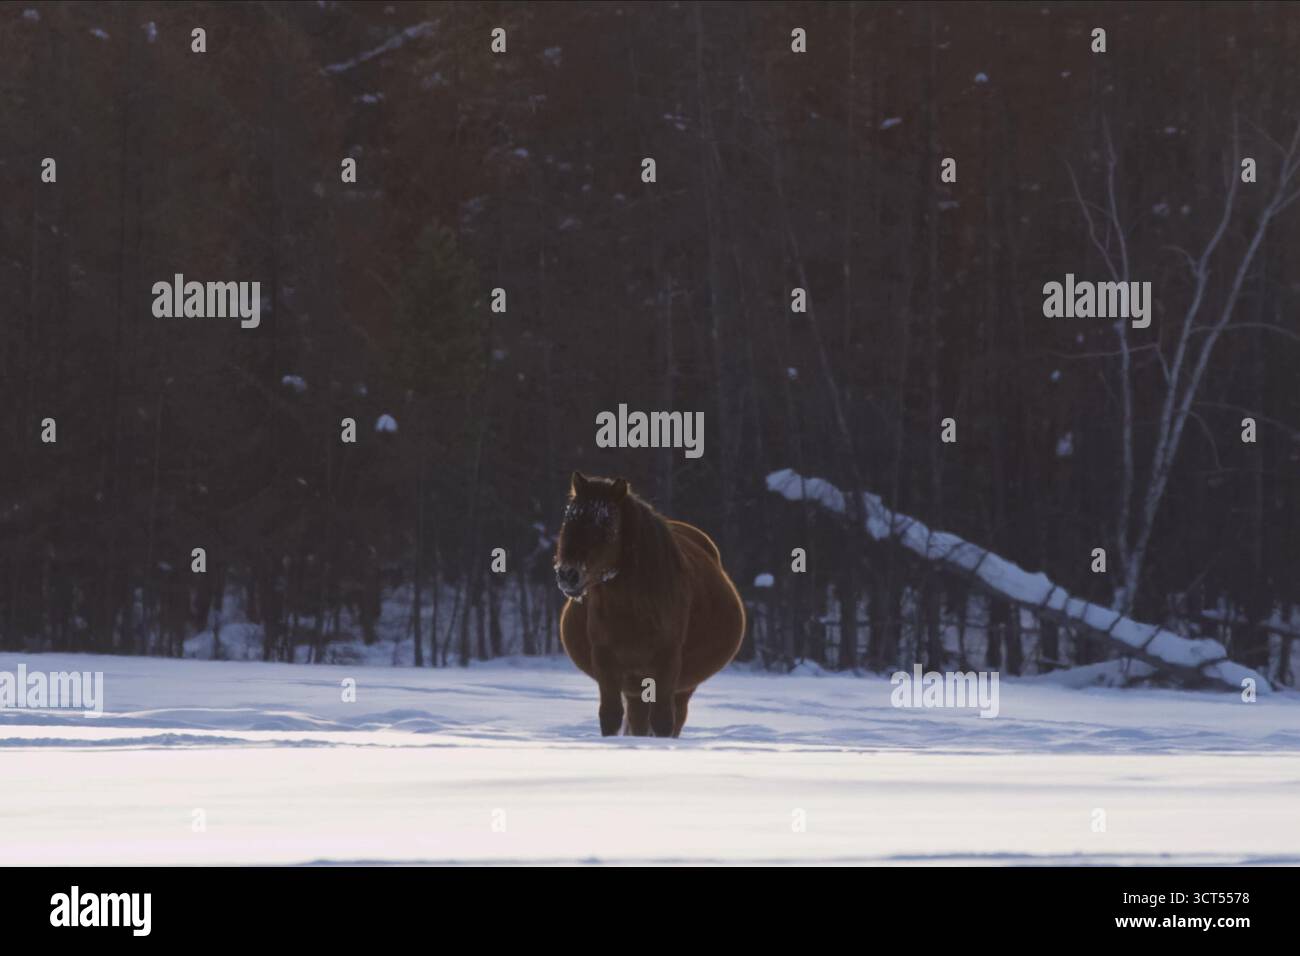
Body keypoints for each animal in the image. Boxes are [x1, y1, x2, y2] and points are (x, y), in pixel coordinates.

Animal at [555, 471, 746, 737]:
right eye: (568, 521)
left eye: (607, 526)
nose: (568, 575)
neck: (631, 610)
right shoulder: (605, 662)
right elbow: (610, 716)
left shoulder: (667, 664)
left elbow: (663, 720)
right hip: (636, 688)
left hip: (680, 688)